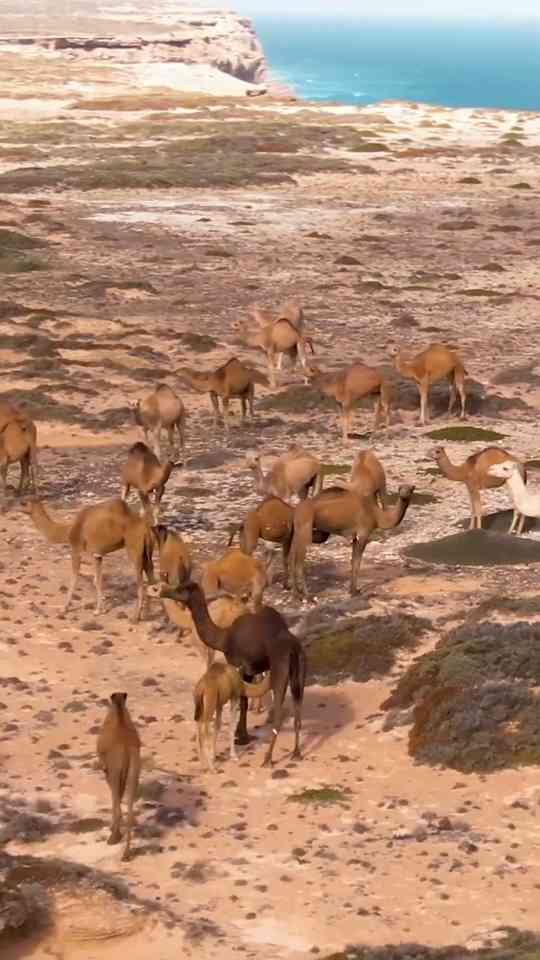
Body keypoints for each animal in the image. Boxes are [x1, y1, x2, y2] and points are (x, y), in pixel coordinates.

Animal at [21, 498, 154, 620]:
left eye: (24, 503)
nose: (18, 504)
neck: (68, 530)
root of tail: (145, 528)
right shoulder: (97, 555)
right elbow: (98, 580)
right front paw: (101, 609)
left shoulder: (78, 550)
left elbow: (76, 579)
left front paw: (66, 608)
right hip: (147, 552)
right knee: (151, 574)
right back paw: (148, 614)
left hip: (134, 548)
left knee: (140, 581)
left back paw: (135, 617)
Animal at [97, 692, 140, 862]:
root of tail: (126, 749)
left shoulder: (108, 770)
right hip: (134, 772)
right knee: (129, 810)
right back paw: (126, 853)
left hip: (115, 772)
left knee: (118, 802)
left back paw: (113, 838)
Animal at [161, 581, 305, 765]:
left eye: (181, 589)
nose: (164, 591)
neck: (224, 638)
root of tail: (293, 648)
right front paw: (241, 735)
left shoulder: (241, 666)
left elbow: (243, 702)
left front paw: (241, 737)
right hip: (300, 671)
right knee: (298, 709)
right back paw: (296, 753)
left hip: (279, 669)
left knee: (279, 714)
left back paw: (267, 759)